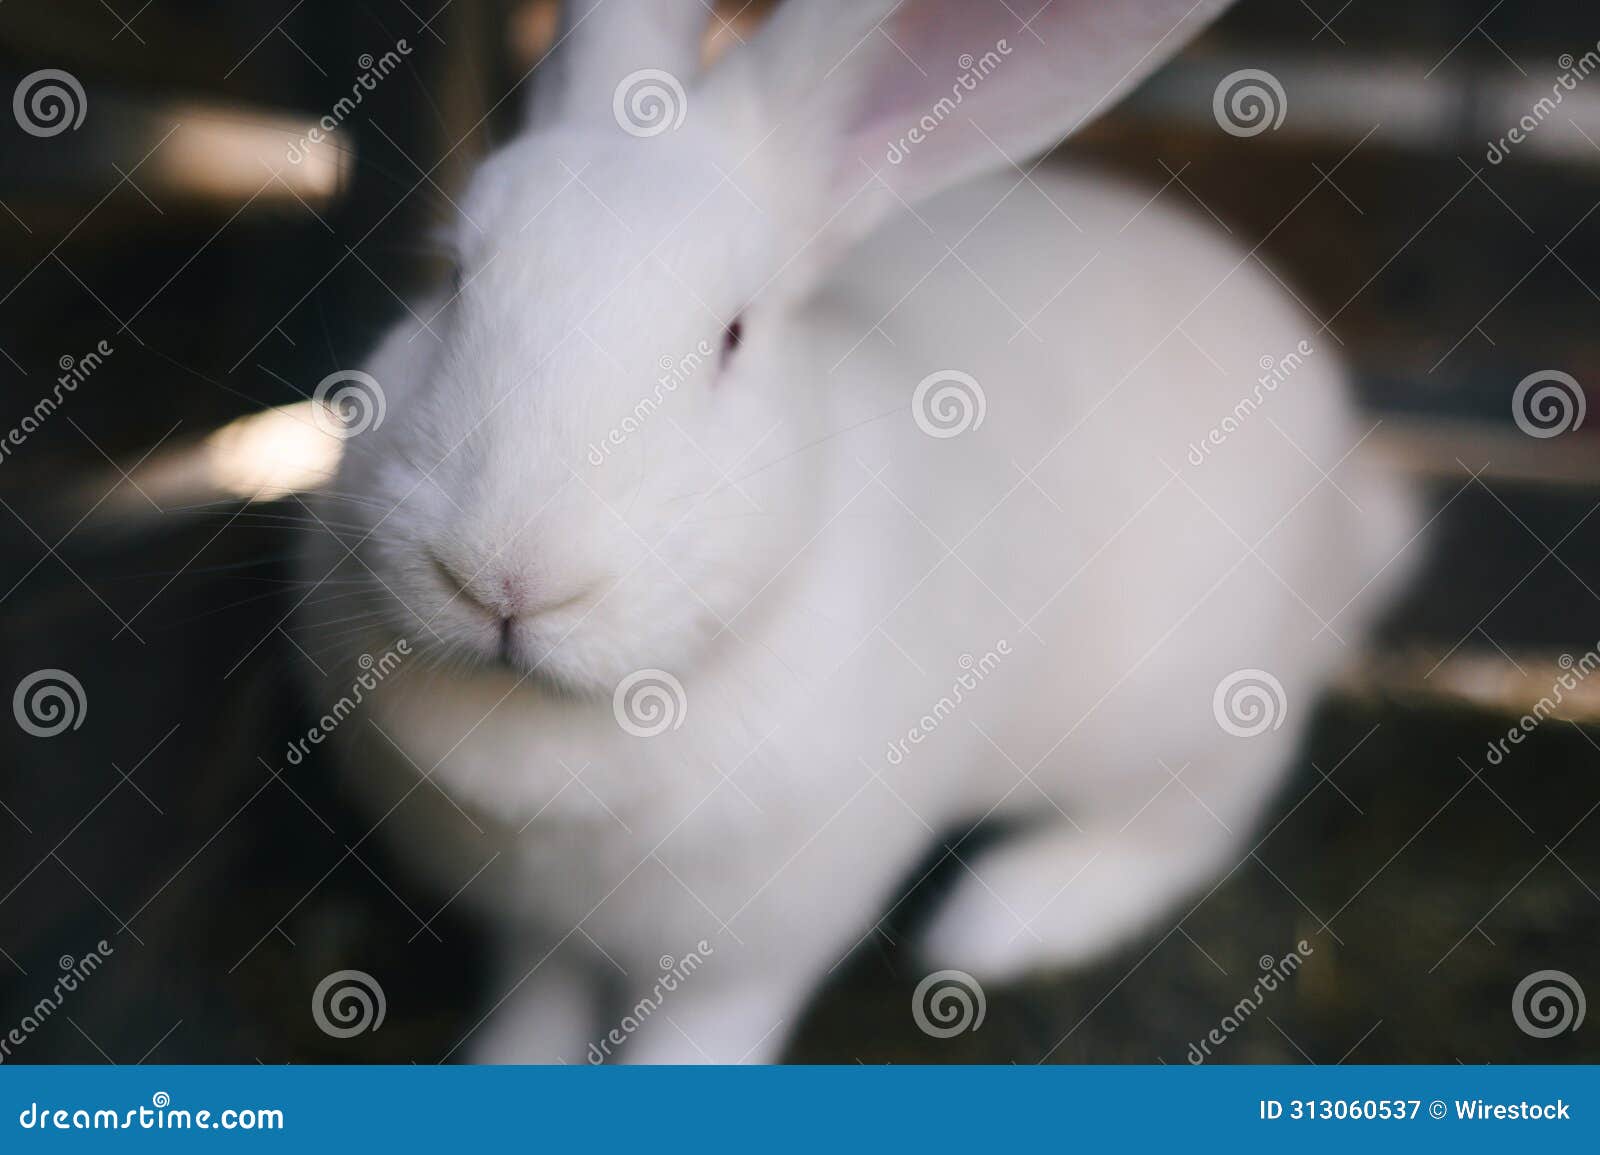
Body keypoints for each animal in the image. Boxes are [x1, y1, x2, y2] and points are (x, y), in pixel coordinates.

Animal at [296, 0, 1421, 1064]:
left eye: (732, 336)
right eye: (453, 278)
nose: (501, 578)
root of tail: (1354, 502)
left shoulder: (756, 944)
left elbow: (697, 1038)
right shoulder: (537, 934)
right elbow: (531, 1017)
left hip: (1194, 713)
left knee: (1193, 824)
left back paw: (1006, 919)